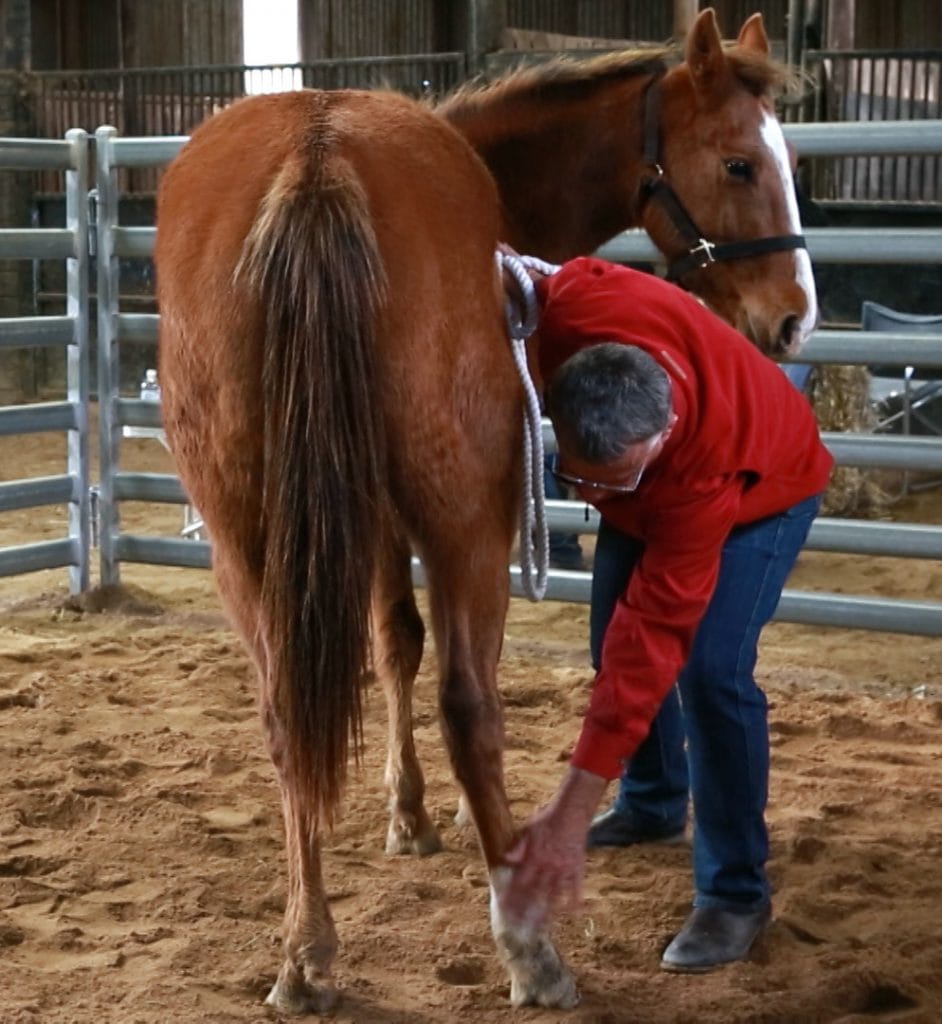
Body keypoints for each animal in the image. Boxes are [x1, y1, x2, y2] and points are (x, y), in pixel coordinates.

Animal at [154, 8, 816, 1013]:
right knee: (471, 702)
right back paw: (528, 947)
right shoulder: (456, 520)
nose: (794, 316)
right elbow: (431, 660)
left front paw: (408, 814)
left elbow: (392, 640)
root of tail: (317, 160)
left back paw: (305, 955)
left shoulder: (365, 518)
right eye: (740, 163)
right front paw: (437, 818)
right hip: (464, 519)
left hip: (245, 538)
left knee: (284, 715)